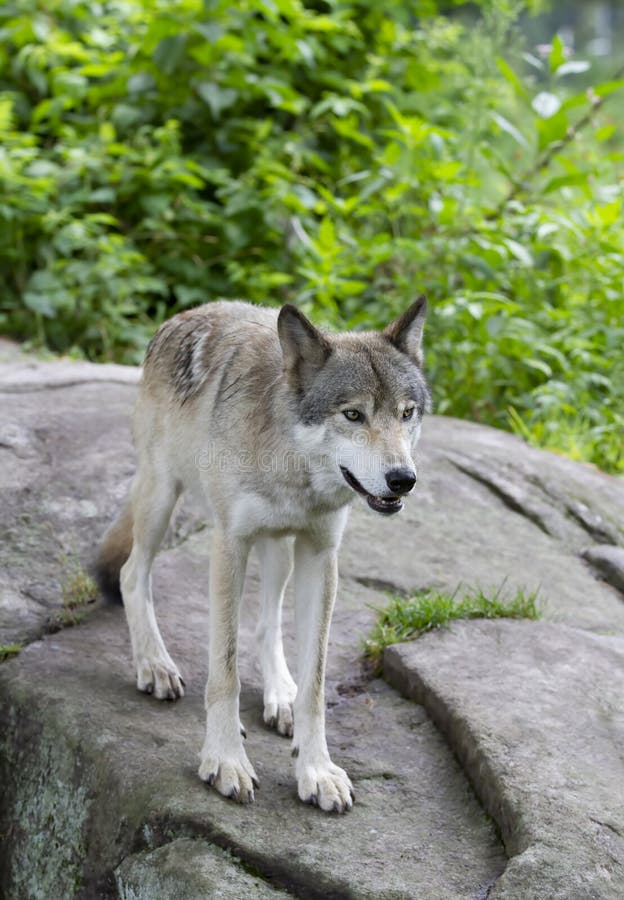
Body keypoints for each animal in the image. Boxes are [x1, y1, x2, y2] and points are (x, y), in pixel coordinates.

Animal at [96, 297, 429, 813]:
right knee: (133, 573)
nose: (403, 480)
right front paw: (225, 760)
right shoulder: (229, 545)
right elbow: (225, 673)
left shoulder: (319, 554)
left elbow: (314, 686)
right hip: (160, 500)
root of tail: (185, 314)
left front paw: (316, 770)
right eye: (353, 415)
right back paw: (154, 665)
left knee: (266, 622)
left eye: (406, 413)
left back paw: (279, 695)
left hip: (277, 546)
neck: (291, 465)